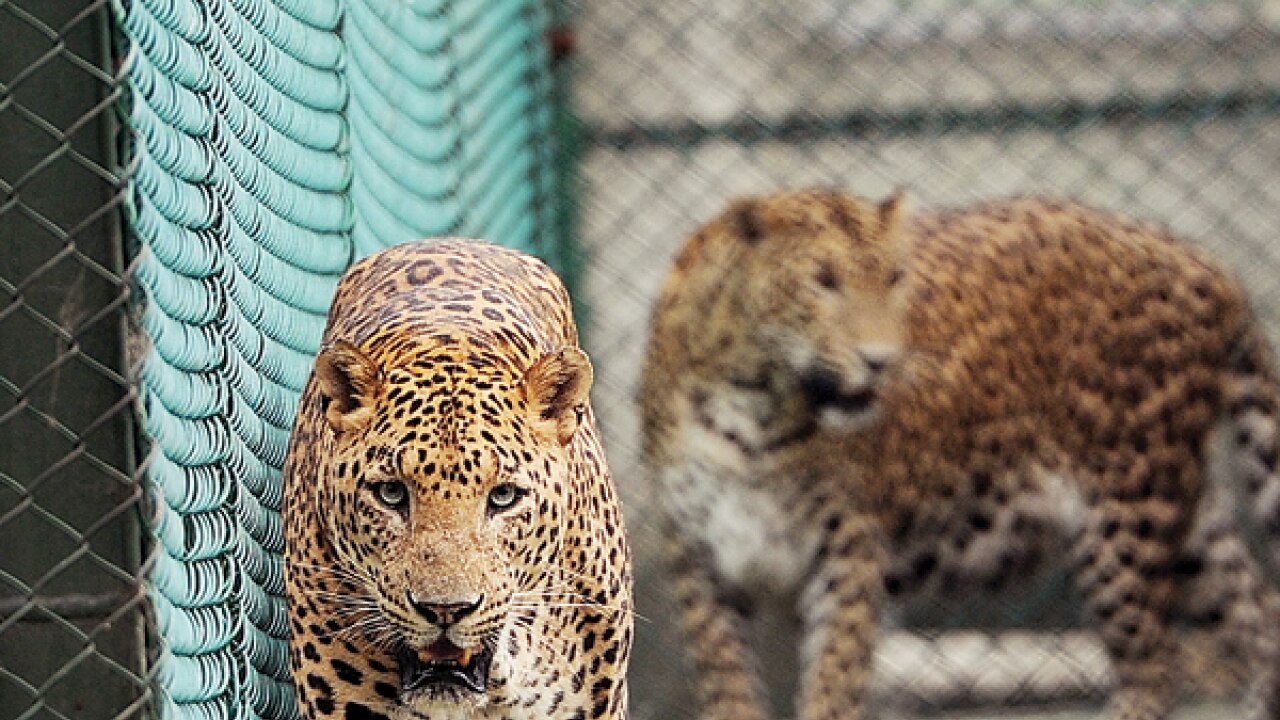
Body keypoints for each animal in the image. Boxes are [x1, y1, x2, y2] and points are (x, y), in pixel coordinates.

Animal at [639, 188, 1280, 720]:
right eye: (823, 280)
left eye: (895, 277)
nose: (881, 361)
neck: (756, 410)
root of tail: (1201, 260)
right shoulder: (696, 559)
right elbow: (728, 686)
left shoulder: (848, 553)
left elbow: (833, 683)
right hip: (1185, 517)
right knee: (1257, 616)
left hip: (1130, 511)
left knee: (1156, 663)